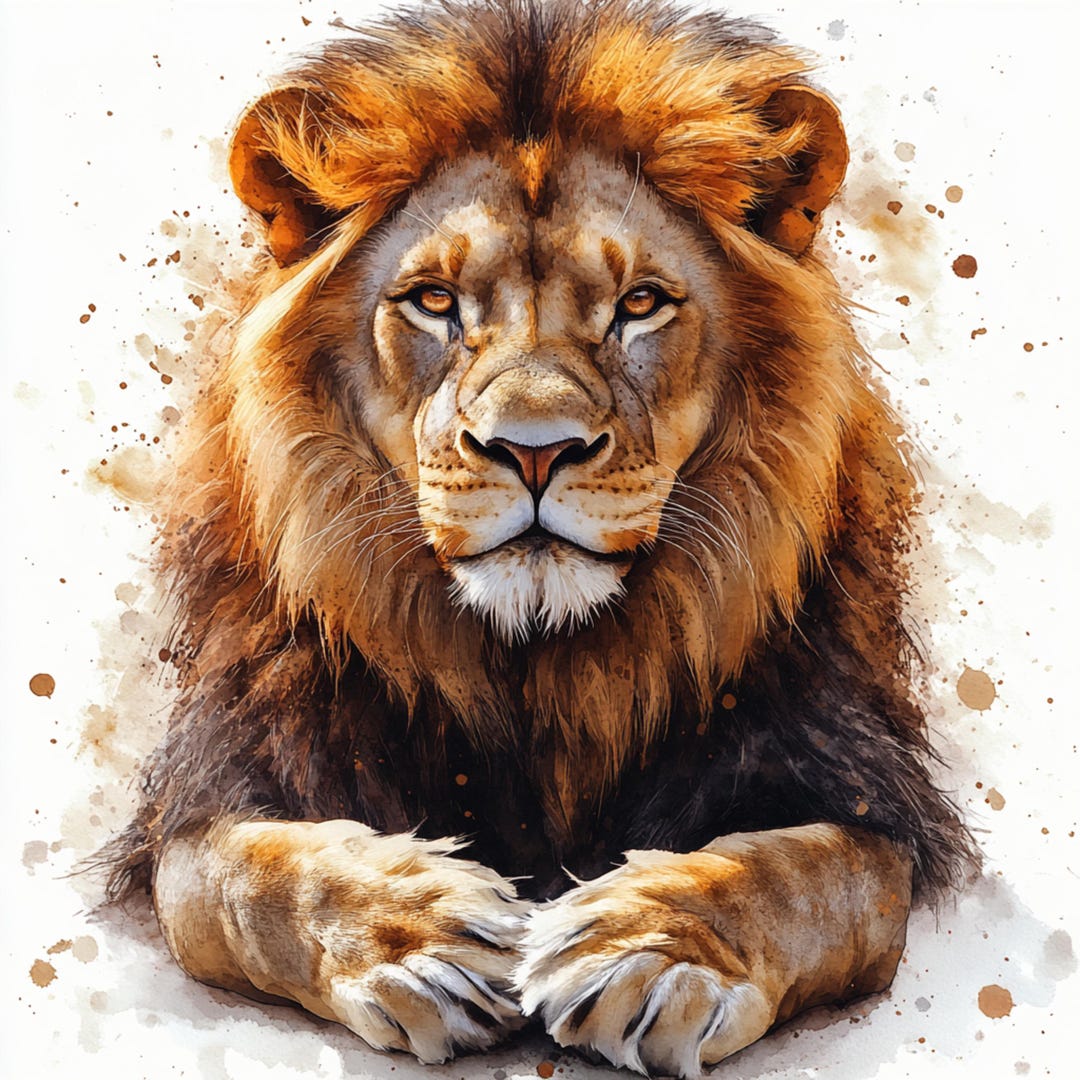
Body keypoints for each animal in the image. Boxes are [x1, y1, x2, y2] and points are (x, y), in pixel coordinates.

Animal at [104, 1, 975, 1075]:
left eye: (640, 304)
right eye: (434, 301)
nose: (534, 448)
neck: (538, 672)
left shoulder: (855, 791)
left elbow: (800, 872)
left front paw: (651, 952)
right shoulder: (211, 793)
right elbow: (244, 877)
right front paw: (419, 937)